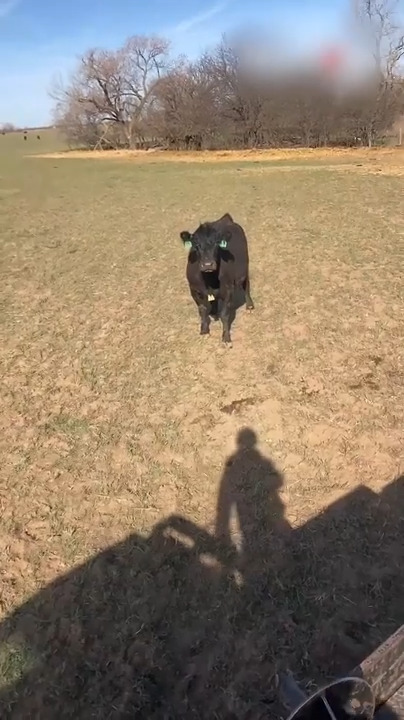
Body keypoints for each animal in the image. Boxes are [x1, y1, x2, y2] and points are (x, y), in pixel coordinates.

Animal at [180, 213, 254, 345]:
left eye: (216, 243)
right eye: (196, 245)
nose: (208, 264)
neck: (209, 280)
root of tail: (225, 219)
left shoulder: (228, 290)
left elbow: (224, 314)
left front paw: (226, 338)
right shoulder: (194, 290)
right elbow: (202, 309)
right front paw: (204, 331)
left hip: (244, 269)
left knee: (246, 285)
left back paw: (249, 305)